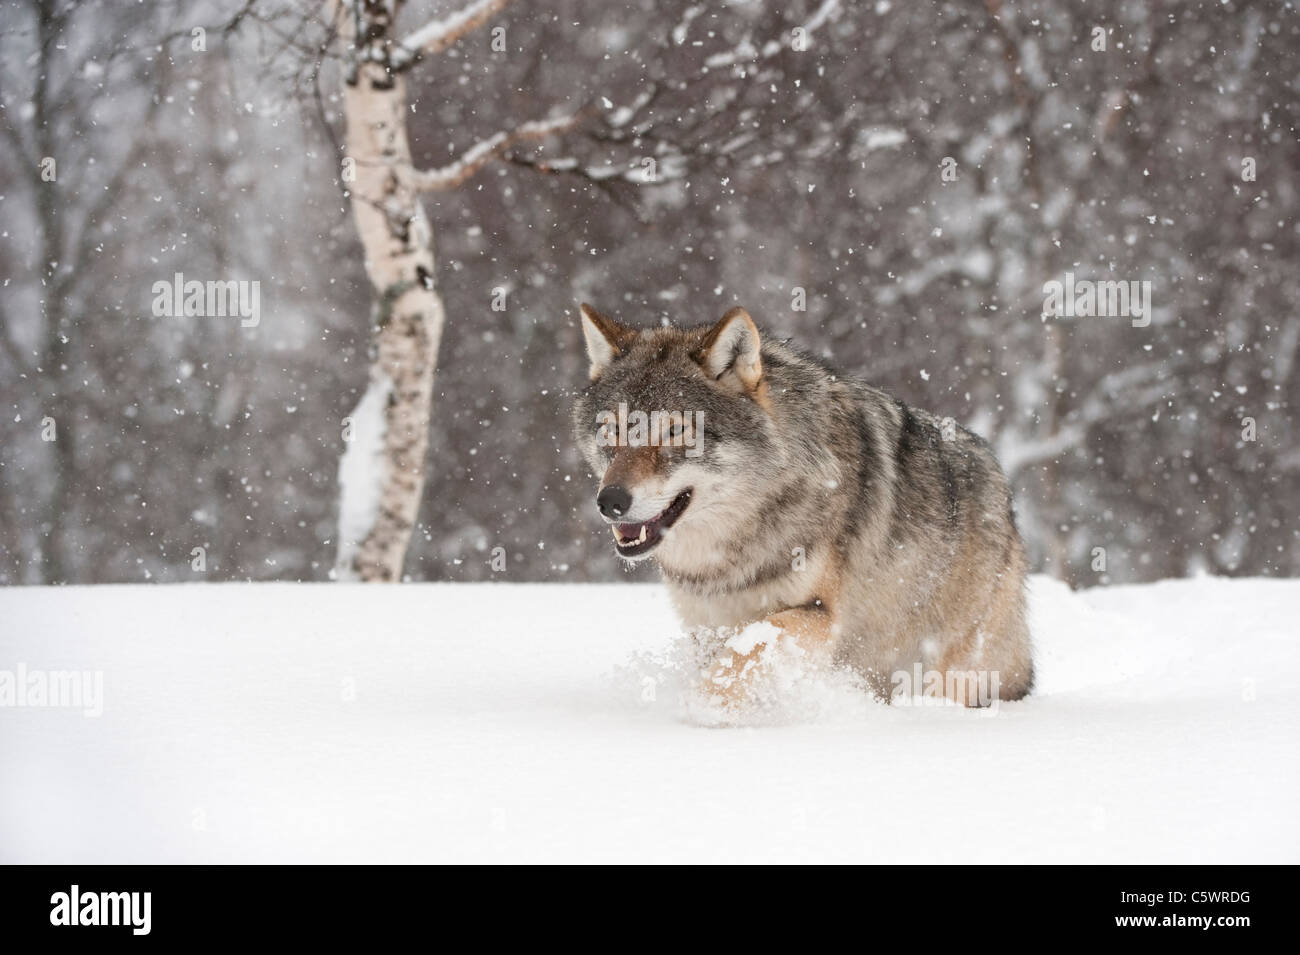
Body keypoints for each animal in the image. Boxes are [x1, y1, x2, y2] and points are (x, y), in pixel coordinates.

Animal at [572, 304, 1033, 708]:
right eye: (611, 430)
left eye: (675, 431)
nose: (610, 501)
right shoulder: (706, 626)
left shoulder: (817, 613)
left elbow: (750, 646)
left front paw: (703, 709)